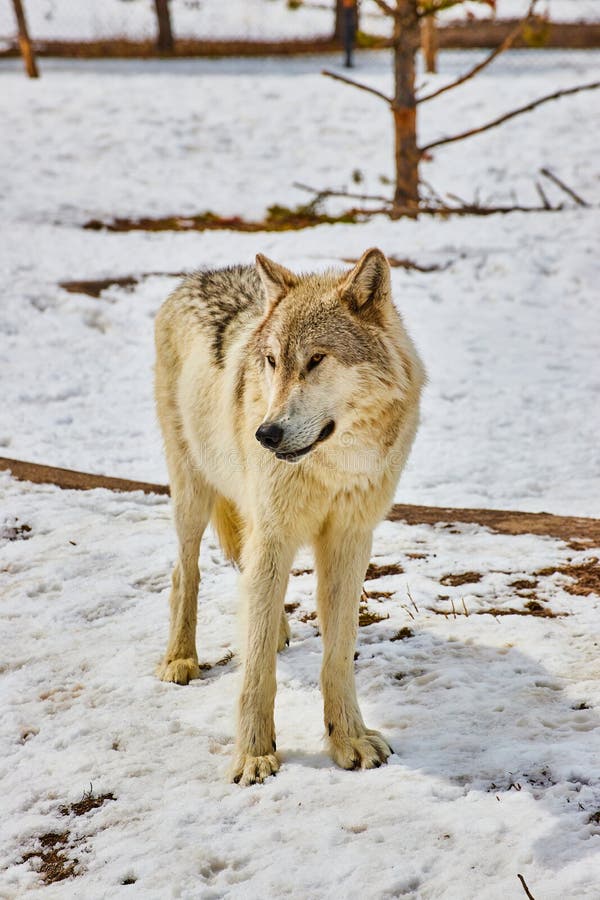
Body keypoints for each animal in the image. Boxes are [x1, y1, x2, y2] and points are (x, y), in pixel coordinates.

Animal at [154, 248, 425, 785]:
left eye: (316, 360)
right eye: (272, 362)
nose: (266, 434)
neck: (333, 468)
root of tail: (200, 275)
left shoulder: (350, 540)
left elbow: (337, 655)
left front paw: (349, 740)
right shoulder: (274, 534)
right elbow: (257, 670)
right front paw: (254, 756)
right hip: (193, 493)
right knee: (184, 572)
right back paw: (180, 658)